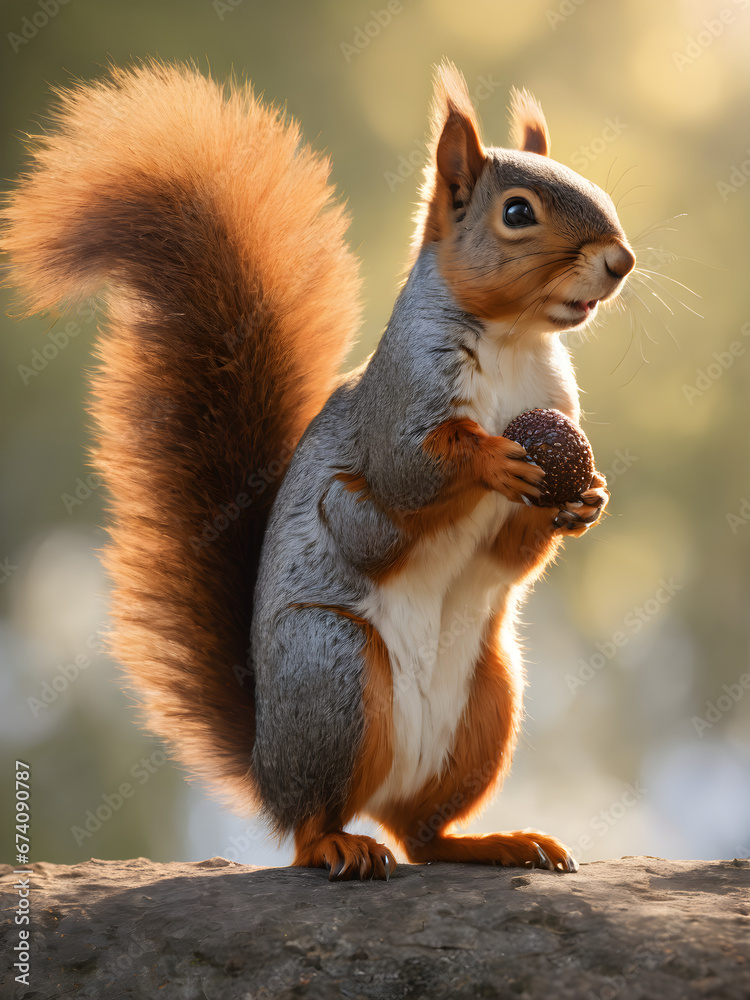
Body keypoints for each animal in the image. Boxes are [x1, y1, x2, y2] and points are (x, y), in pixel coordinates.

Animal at [3, 60, 634, 880]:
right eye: (518, 211)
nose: (621, 260)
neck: (514, 340)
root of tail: (267, 766)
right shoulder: (401, 402)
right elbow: (406, 473)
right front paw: (495, 458)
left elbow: (512, 553)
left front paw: (587, 499)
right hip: (331, 670)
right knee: (313, 828)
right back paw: (340, 842)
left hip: (488, 701)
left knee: (423, 833)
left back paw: (493, 842)